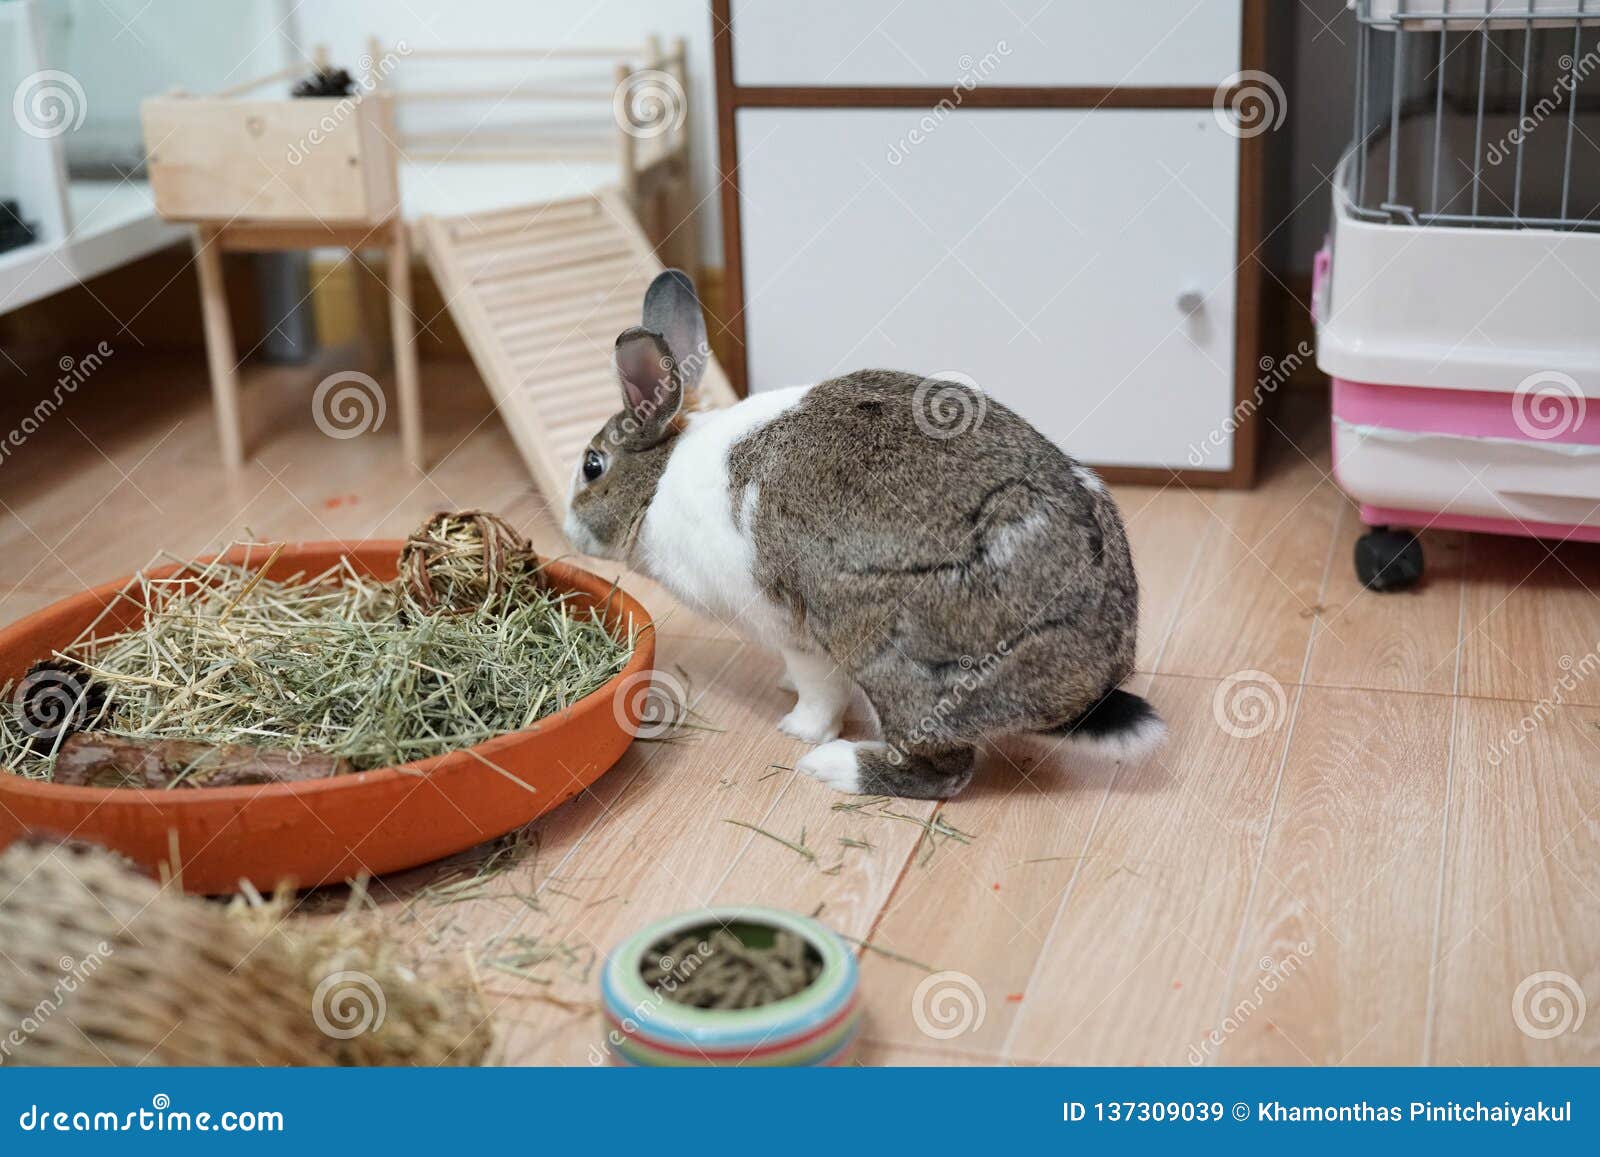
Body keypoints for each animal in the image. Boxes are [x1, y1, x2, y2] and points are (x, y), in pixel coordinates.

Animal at [564, 269, 1164, 799]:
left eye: (593, 466)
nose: (568, 531)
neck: (657, 483)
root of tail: (1087, 682)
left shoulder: (792, 631)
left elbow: (818, 692)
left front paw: (797, 727)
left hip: (891, 657)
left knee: (945, 771)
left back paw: (833, 766)